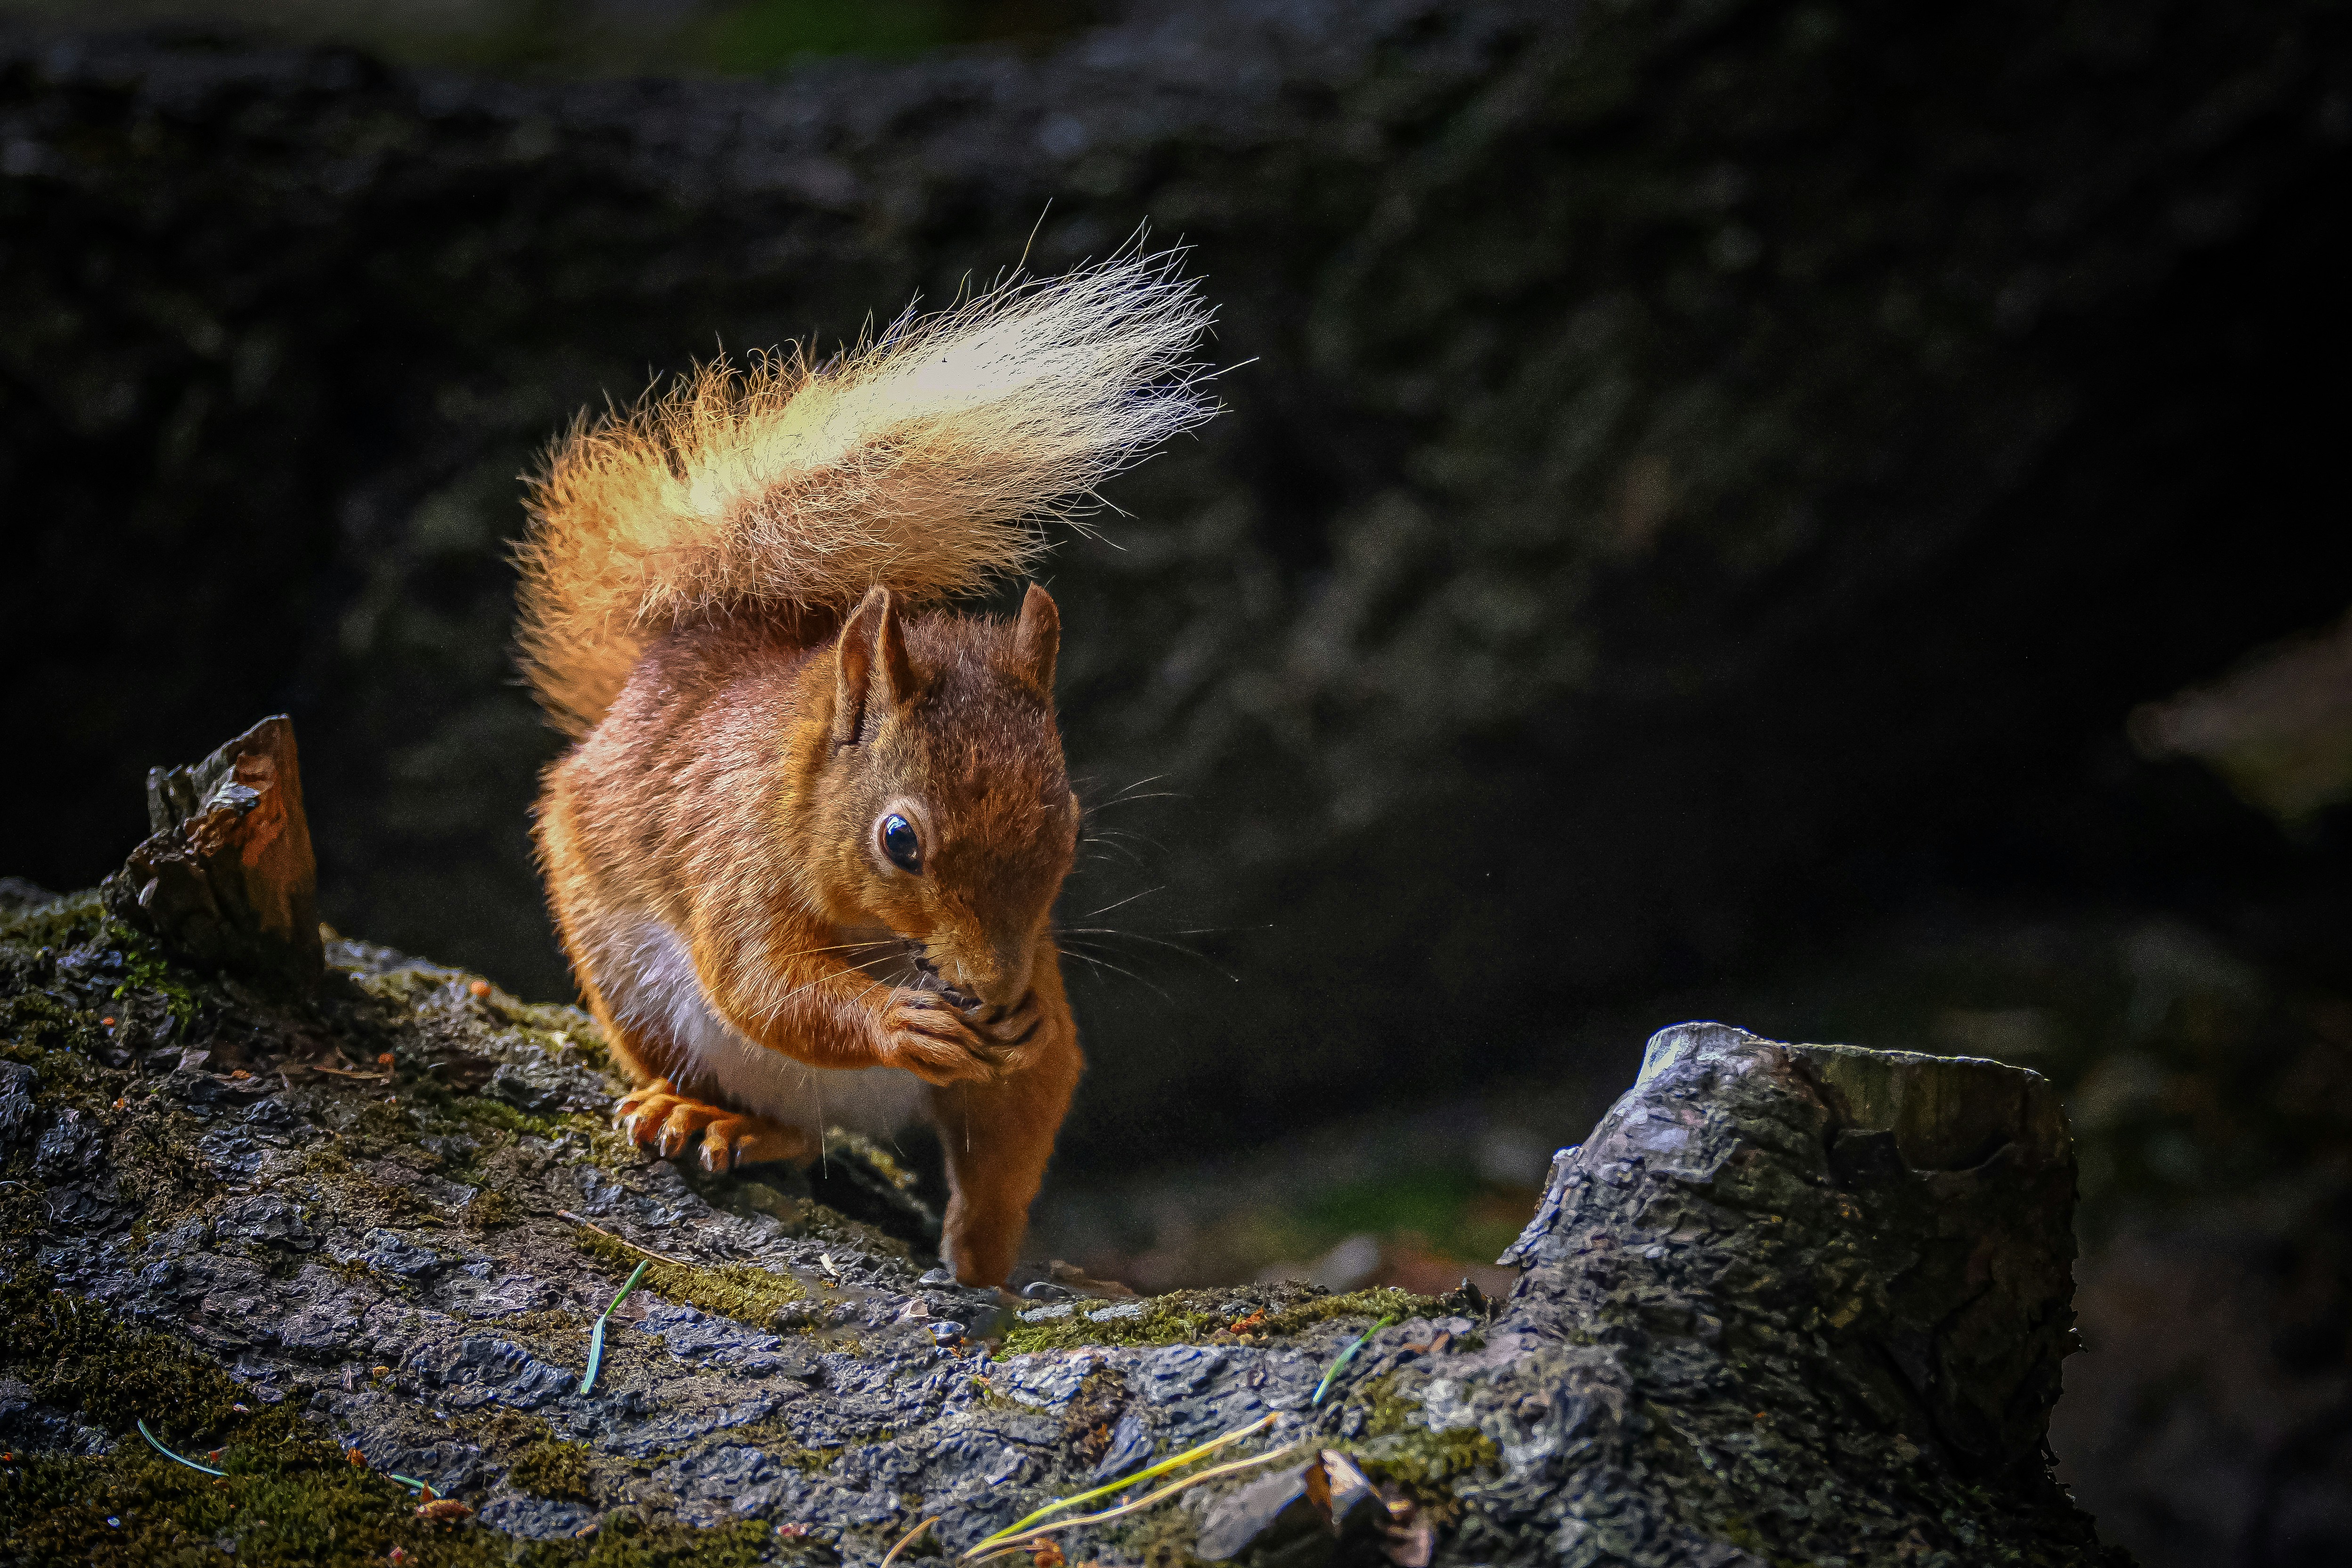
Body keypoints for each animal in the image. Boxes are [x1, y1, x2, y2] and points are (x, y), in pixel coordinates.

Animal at [514, 254, 1214, 1286]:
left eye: (1074, 826)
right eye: (898, 840)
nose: (996, 988)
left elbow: (1018, 1118)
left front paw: (1026, 1026)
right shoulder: (732, 862)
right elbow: (764, 981)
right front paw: (901, 1025)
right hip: (629, 988)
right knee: (785, 1123)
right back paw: (708, 1115)